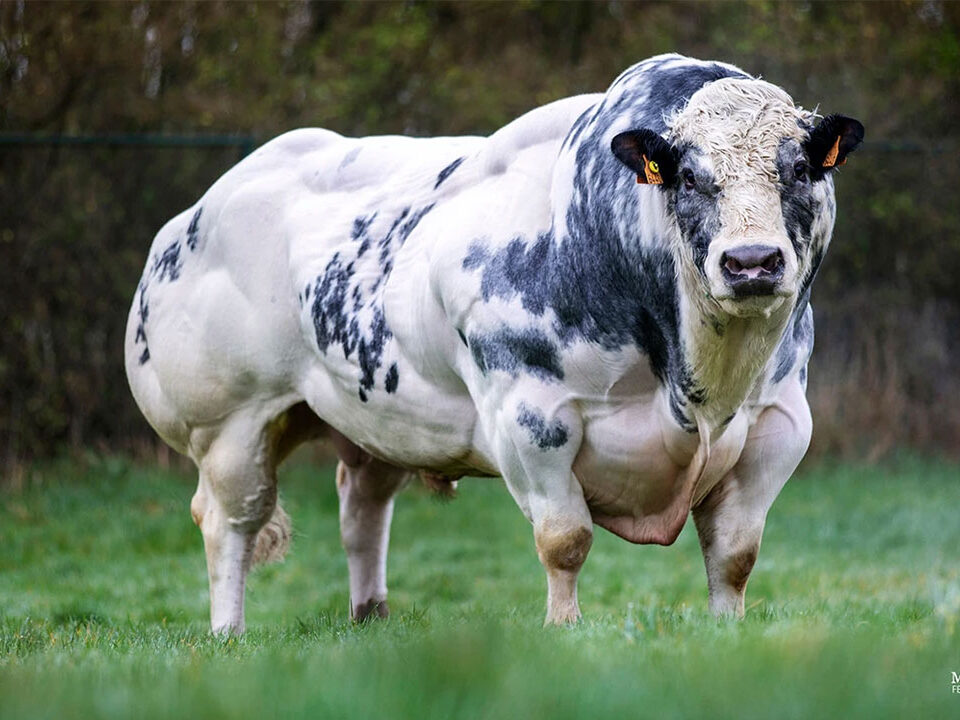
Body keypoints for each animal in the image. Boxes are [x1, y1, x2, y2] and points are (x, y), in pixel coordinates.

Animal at [125, 54, 863, 633]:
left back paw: (371, 617)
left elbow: (735, 554)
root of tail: (195, 215)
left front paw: (725, 631)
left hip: (377, 419)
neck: (699, 382)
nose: (752, 262)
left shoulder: (778, 427)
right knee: (231, 522)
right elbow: (564, 540)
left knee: (362, 508)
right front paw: (563, 628)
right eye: (686, 176)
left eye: (801, 169)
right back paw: (228, 632)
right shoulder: (530, 417)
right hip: (229, 424)